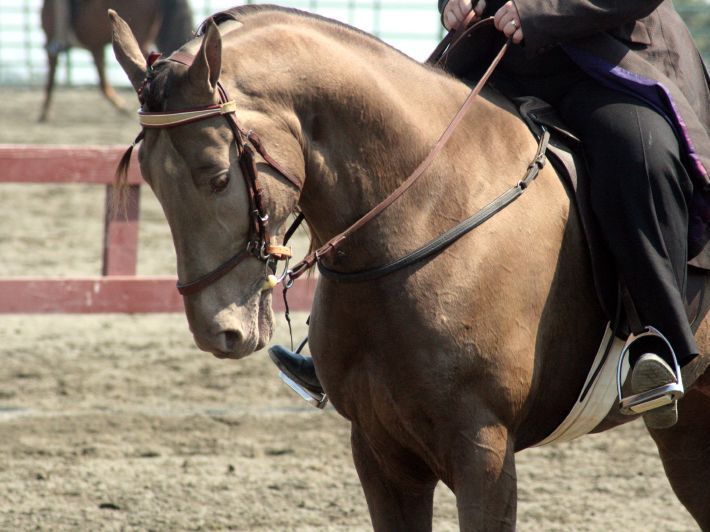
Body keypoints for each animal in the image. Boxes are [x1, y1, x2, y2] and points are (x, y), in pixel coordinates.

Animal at [110, 6, 710, 530]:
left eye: (216, 176)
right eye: (151, 179)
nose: (219, 332)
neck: (425, 212)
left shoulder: (483, 453)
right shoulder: (380, 454)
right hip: (685, 433)